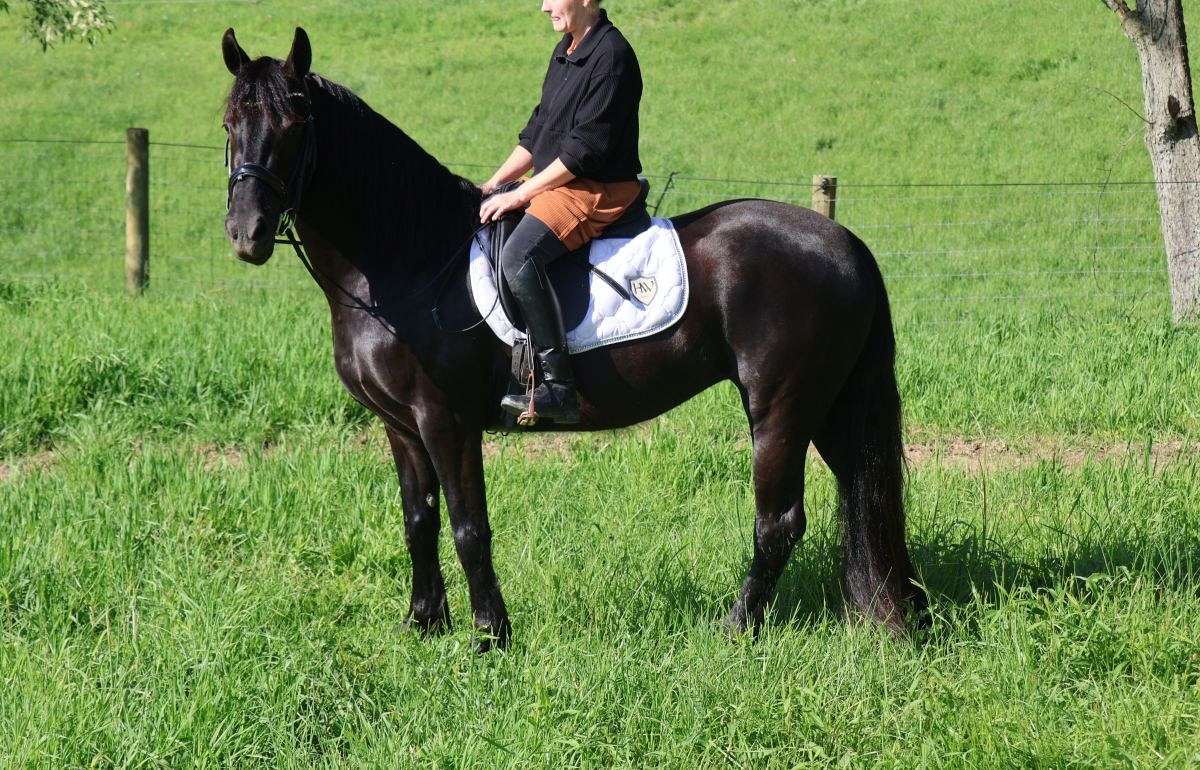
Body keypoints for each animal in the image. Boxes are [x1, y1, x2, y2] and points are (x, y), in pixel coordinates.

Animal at [220, 27, 925, 651]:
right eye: (230, 124)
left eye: (295, 125)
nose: (246, 234)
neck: (409, 259)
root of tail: (844, 243)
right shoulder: (401, 425)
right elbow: (418, 522)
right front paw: (423, 625)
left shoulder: (446, 420)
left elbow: (468, 526)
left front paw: (489, 636)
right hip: (830, 406)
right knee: (861, 499)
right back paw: (887, 614)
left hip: (781, 406)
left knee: (779, 521)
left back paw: (735, 628)